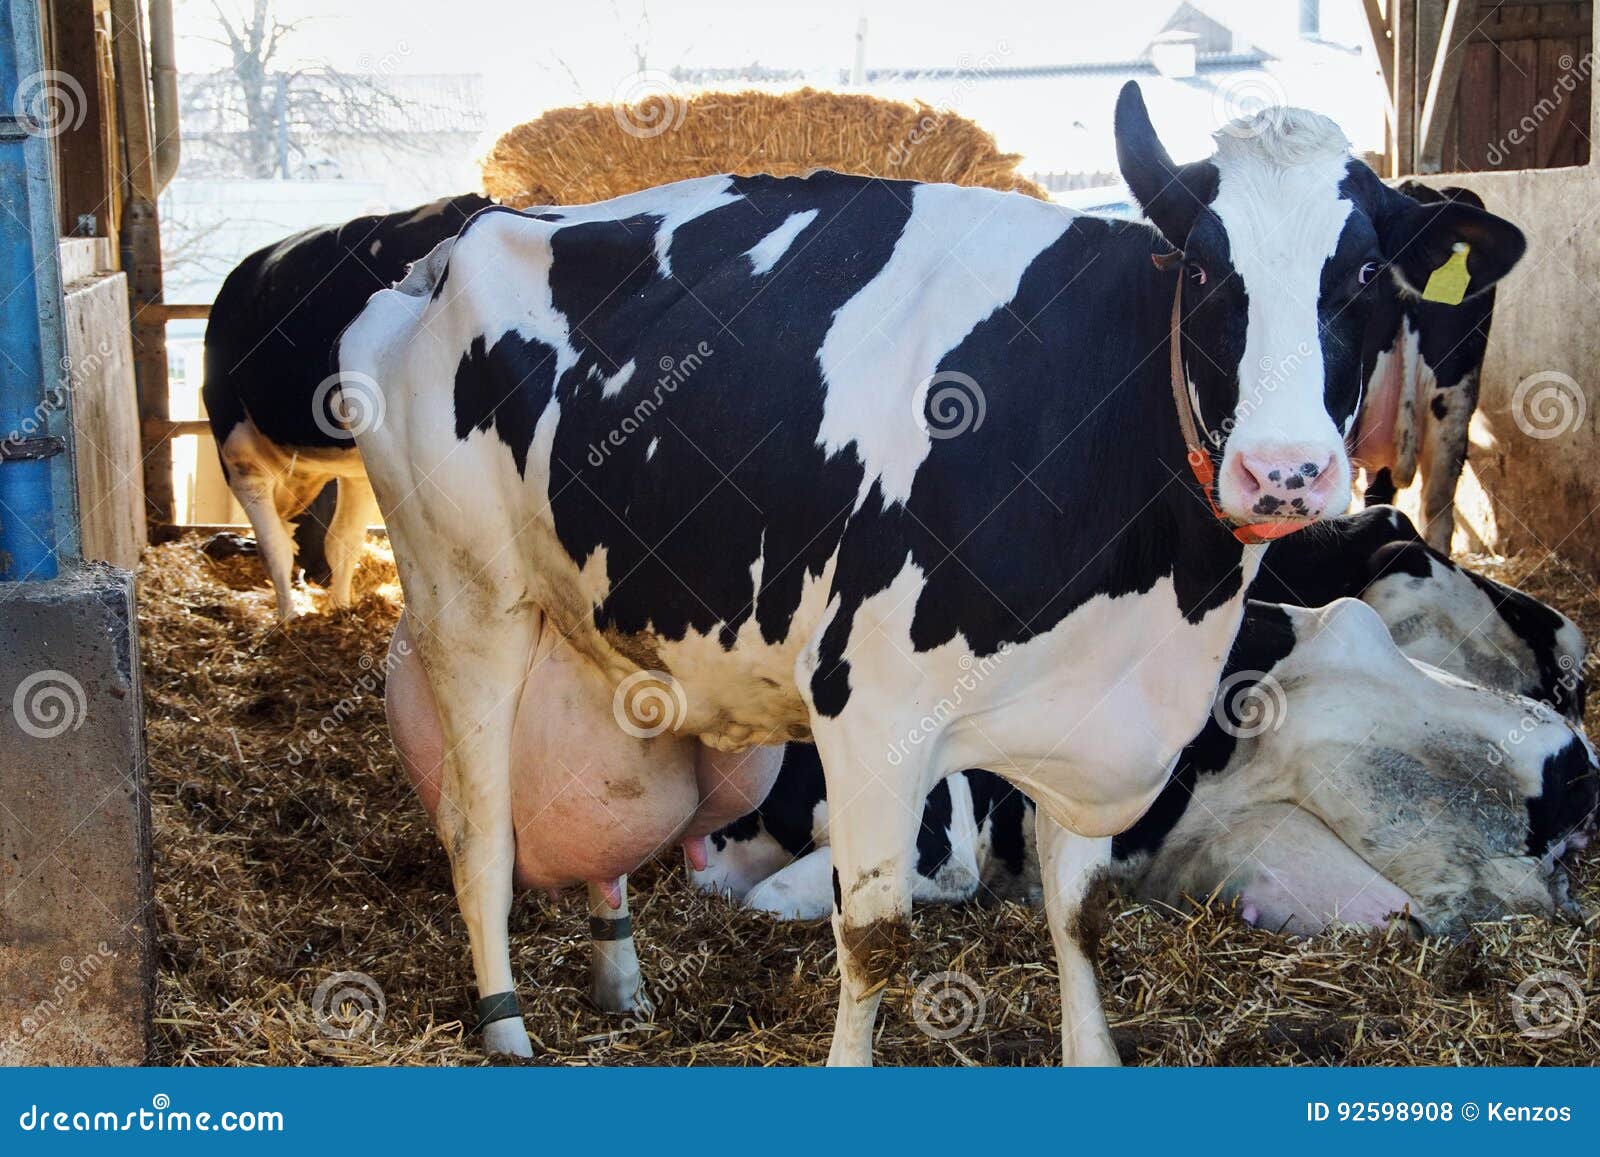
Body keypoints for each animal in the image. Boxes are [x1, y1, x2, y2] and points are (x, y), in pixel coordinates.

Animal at [203, 193, 492, 619]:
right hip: (236, 443)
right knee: (275, 543)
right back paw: (288, 619)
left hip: (353, 470)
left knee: (336, 541)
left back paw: (337, 606)